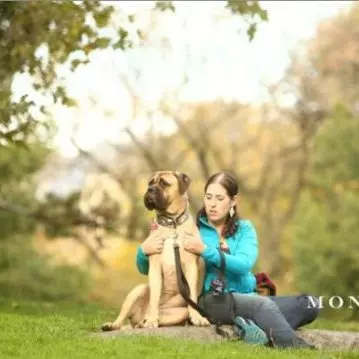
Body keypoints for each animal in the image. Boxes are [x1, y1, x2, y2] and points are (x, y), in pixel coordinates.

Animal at [101, 172, 211, 332]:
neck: (172, 223)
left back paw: (143, 323)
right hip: (137, 291)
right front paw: (152, 320)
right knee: (122, 317)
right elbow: (154, 297)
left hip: (179, 313)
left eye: (164, 183)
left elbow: (192, 295)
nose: (150, 189)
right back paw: (116, 324)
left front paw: (198, 318)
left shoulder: (191, 266)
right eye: (150, 183)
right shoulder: (154, 266)